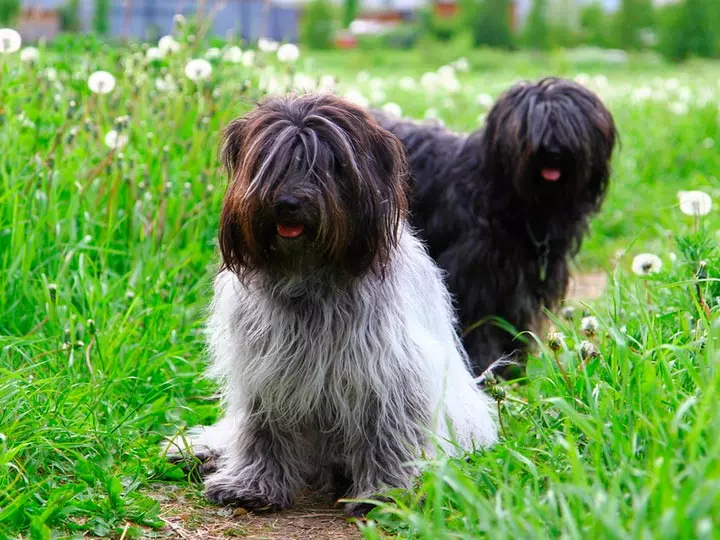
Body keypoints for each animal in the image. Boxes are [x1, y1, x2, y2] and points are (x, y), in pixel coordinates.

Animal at [374, 78, 616, 378]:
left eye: (571, 124)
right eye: (528, 125)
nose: (553, 152)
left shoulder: (523, 281)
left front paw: (512, 367)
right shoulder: (475, 275)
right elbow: (481, 323)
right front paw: (488, 366)